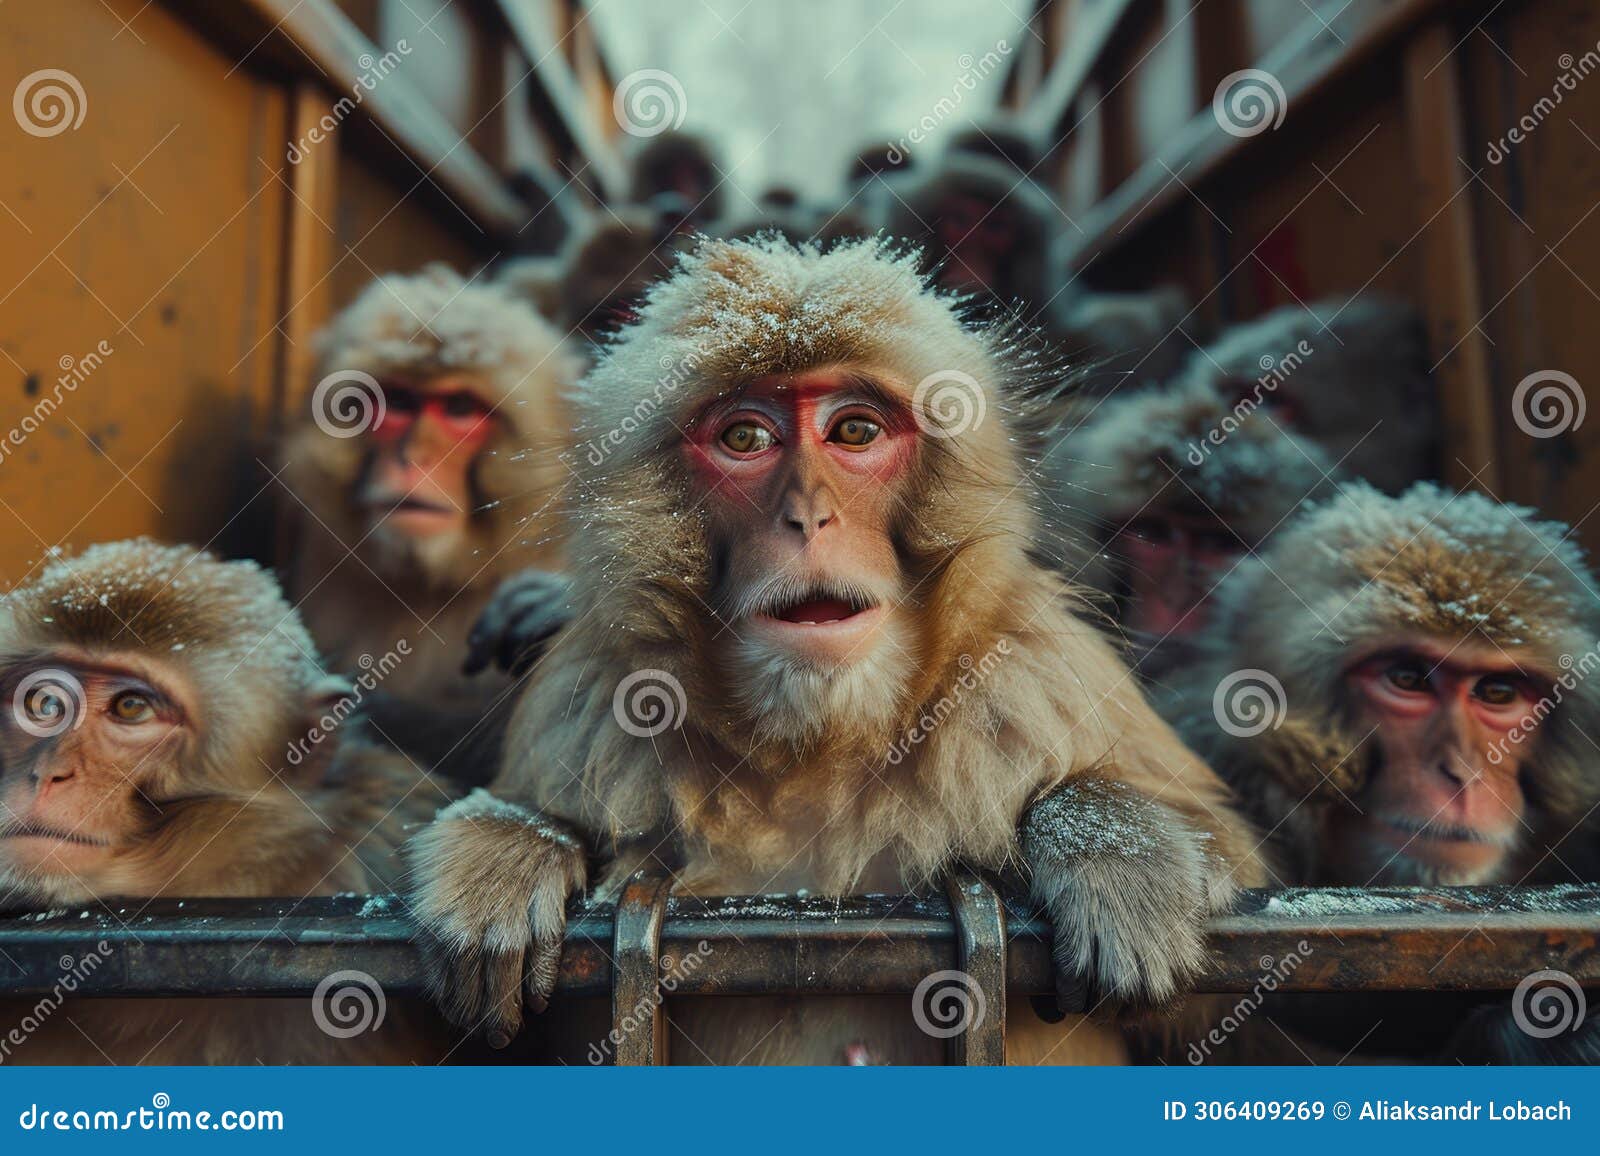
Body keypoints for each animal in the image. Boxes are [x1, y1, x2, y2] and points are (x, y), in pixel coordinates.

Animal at [406, 234, 1266, 1065]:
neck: (817, 743)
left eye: (855, 430)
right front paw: (514, 848)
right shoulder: (587, 697)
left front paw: (1114, 844)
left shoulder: (1037, 672)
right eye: (745, 437)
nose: (809, 516)